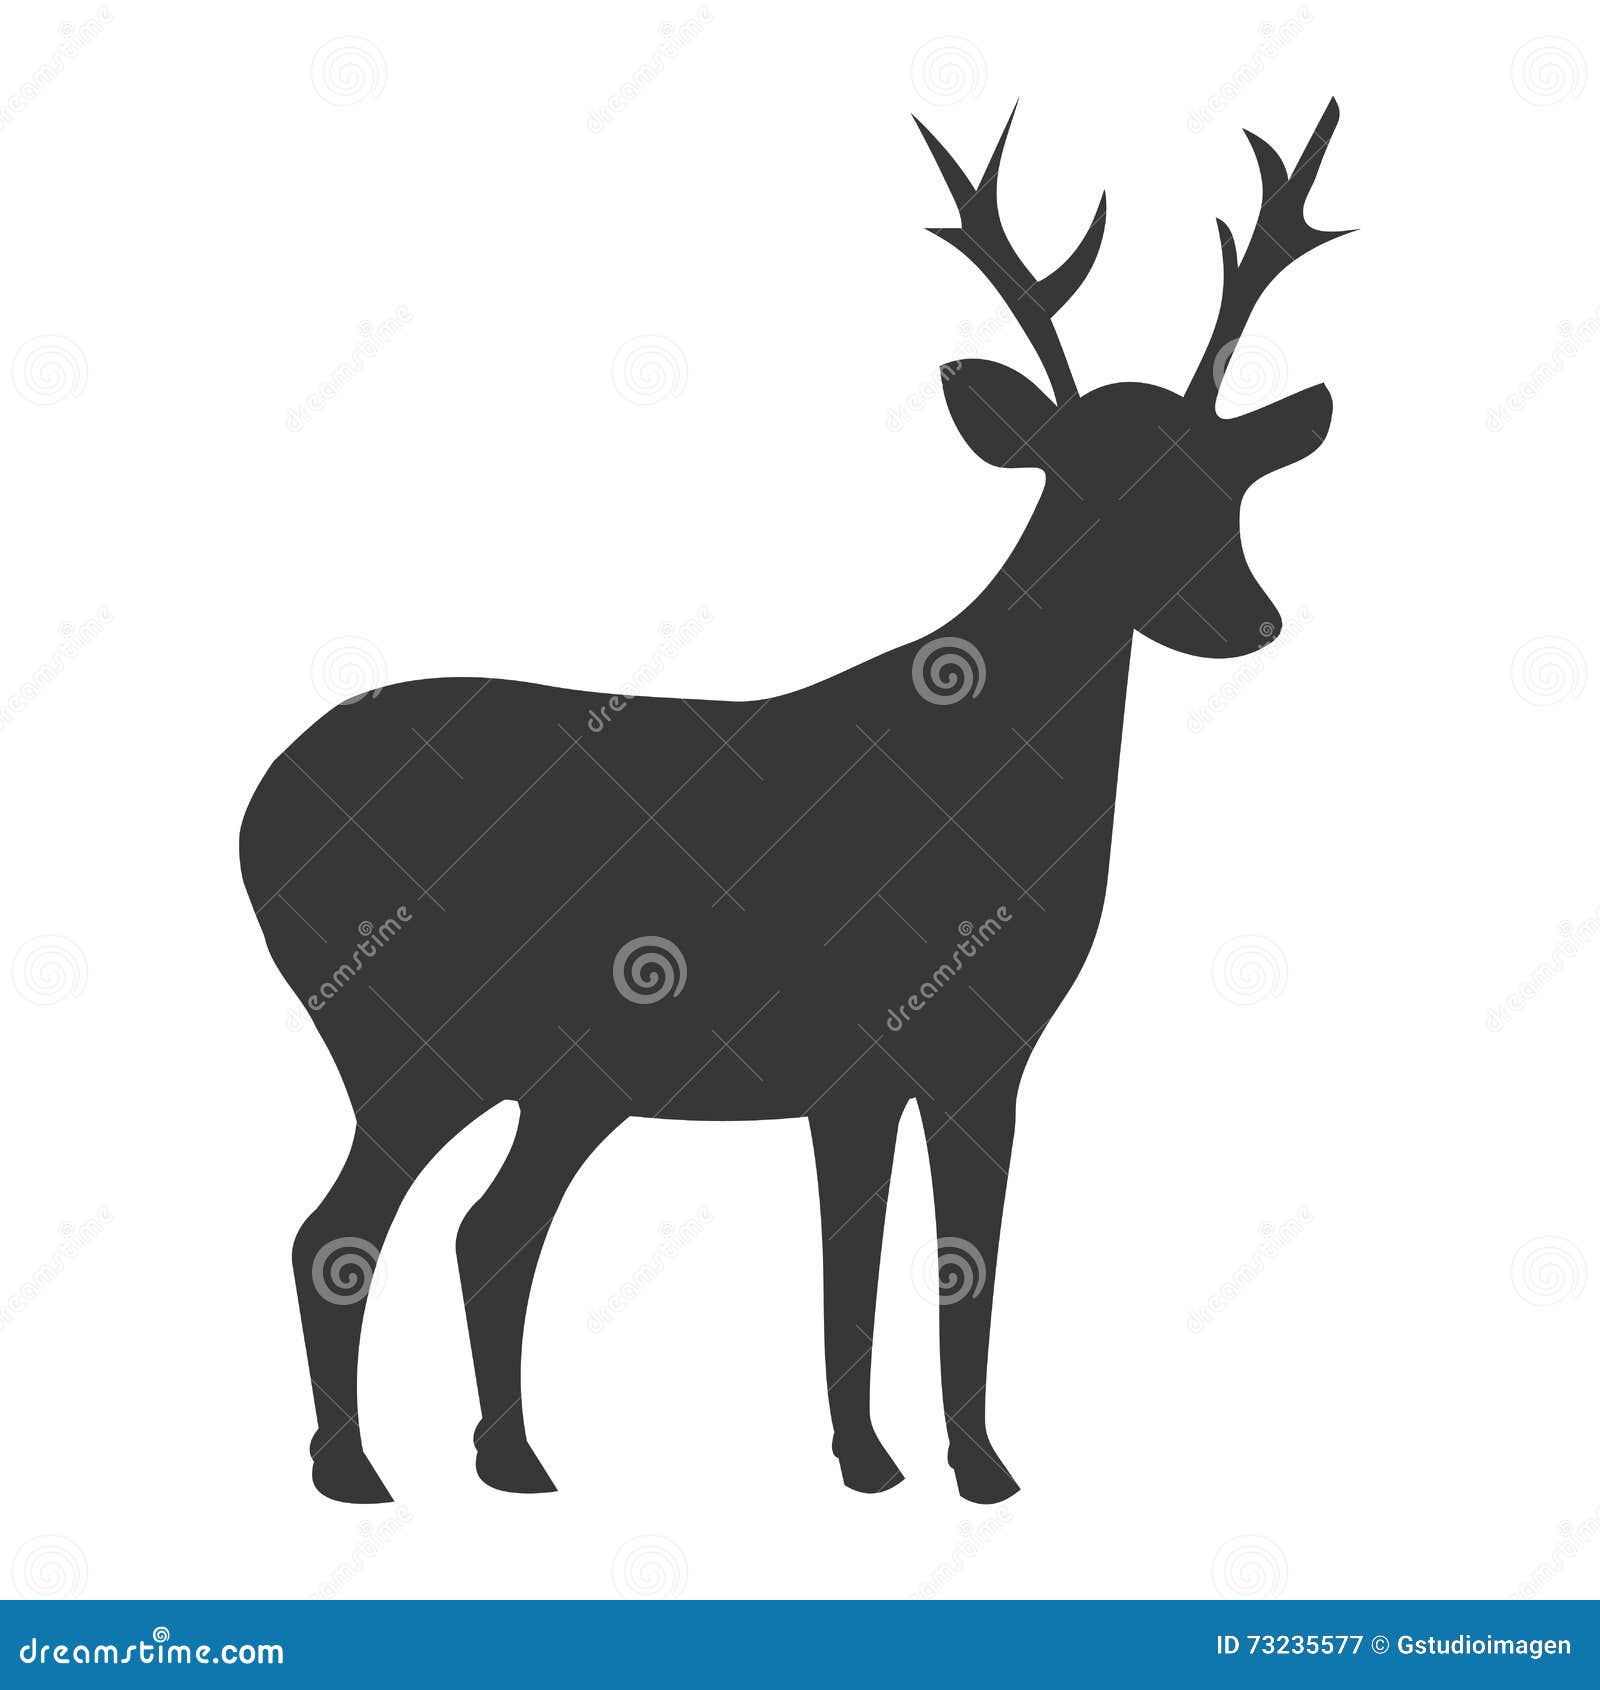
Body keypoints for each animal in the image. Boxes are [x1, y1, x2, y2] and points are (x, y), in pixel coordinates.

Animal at [241, 99, 1348, 1504]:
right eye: (1085, 486)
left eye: (1231, 482)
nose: (1246, 618)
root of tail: (250, 816)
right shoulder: (892, 1044)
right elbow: (895, 1263)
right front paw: (927, 1467)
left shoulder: (935, 1058)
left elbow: (913, 1258)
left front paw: (925, 1463)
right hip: (403, 1034)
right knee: (333, 1229)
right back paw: (353, 1469)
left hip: (559, 1076)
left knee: (489, 1226)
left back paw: (513, 1458)